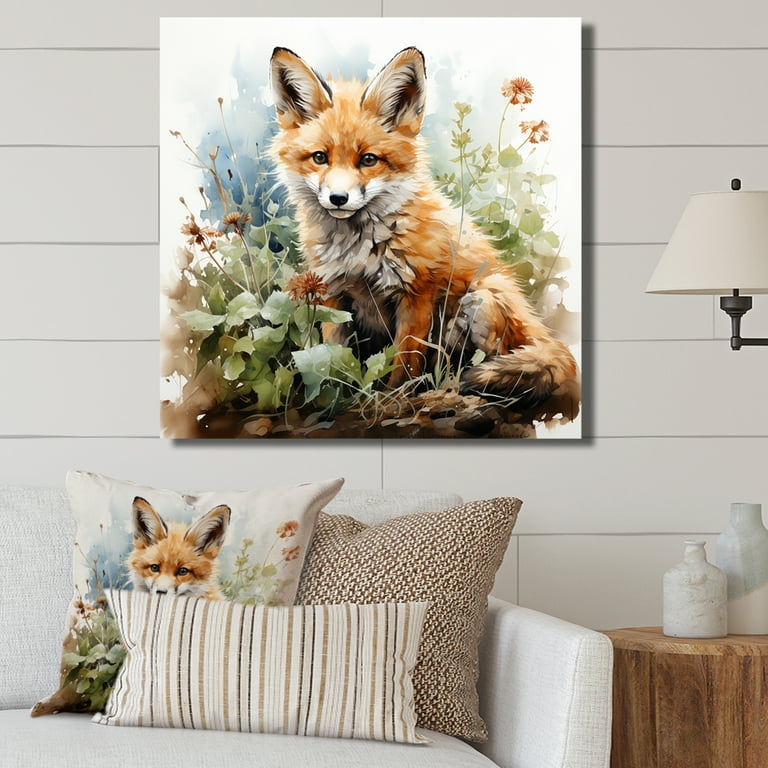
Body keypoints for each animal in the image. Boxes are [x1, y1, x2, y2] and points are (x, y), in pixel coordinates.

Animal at [269, 46, 580, 421]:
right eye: (319, 157)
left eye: (368, 160)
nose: (338, 198)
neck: (360, 249)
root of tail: (540, 329)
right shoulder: (333, 293)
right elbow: (332, 353)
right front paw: (330, 399)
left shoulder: (416, 293)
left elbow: (405, 362)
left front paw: (390, 404)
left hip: (481, 300)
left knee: (487, 358)